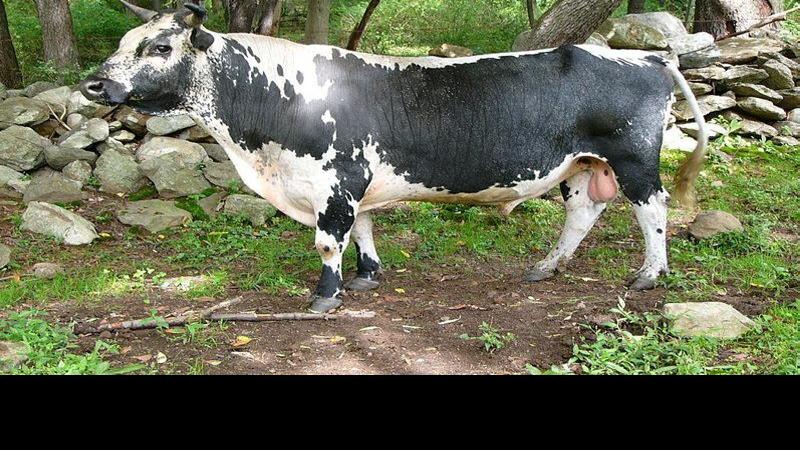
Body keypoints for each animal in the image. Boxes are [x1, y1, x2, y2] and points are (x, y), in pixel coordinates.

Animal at [80, 2, 708, 313]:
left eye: (160, 46)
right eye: (121, 43)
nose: (93, 84)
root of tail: (649, 57)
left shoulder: (335, 180)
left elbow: (329, 240)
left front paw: (325, 296)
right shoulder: (353, 185)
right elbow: (363, 230)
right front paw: (366, 278)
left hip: (632, 159)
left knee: (652, 210)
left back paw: (649, 274)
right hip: (581, 164)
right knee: (582, 213)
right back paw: (546, 267)